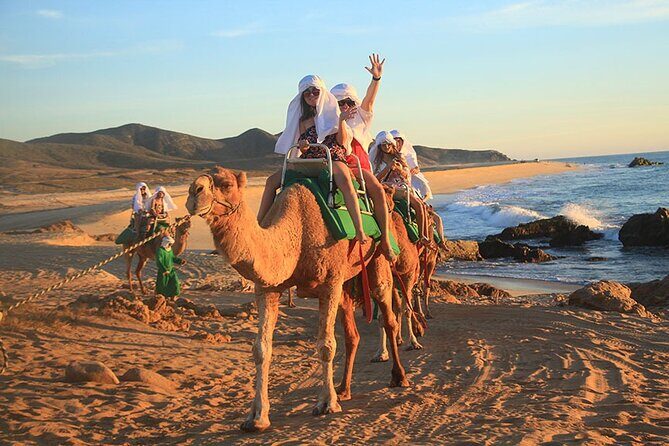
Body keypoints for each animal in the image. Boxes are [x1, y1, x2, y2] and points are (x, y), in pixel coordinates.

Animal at [185, 166, 409, 432]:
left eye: (227, 184)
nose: (194, 192)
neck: (297, 231)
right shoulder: (267, 288)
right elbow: (261, 349)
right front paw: (257, 417)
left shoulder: (329, 283)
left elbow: (326, 345)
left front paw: (327, 404)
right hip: (345, 280)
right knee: (352, 334)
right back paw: (344, 390)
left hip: (376, 259)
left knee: (386, 311)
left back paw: (398, 377)